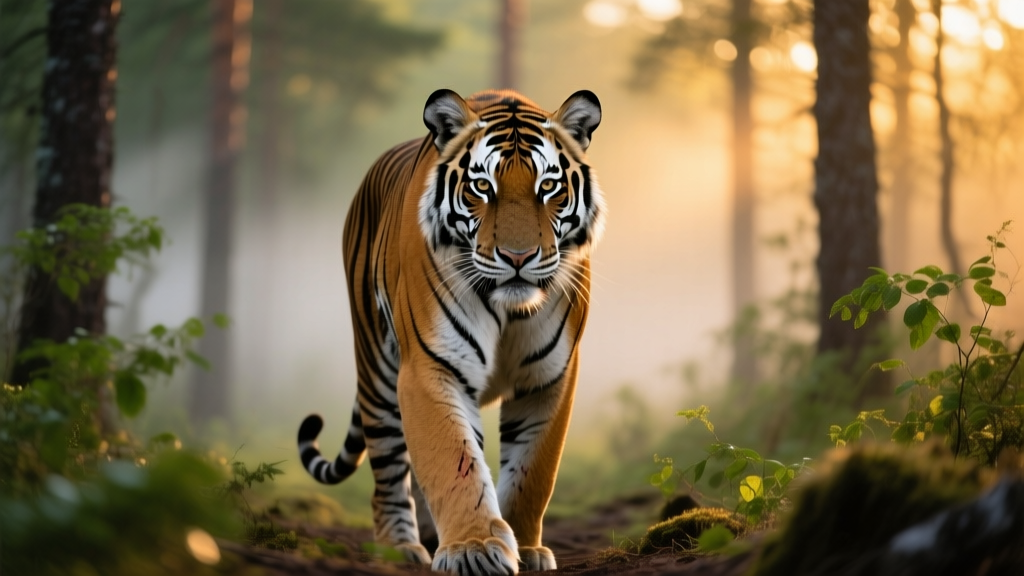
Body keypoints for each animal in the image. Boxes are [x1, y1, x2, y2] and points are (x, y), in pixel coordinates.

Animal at [296, 88, 604, 575]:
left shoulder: (549, 378)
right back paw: (400, 546)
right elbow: (454, 460)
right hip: (378, 372)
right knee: (388, 471)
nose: (518, 257)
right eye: (482, 186)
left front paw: (526, 548)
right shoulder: (431, 368)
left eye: (548, 186)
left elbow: (532, 471)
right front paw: (474, 548)